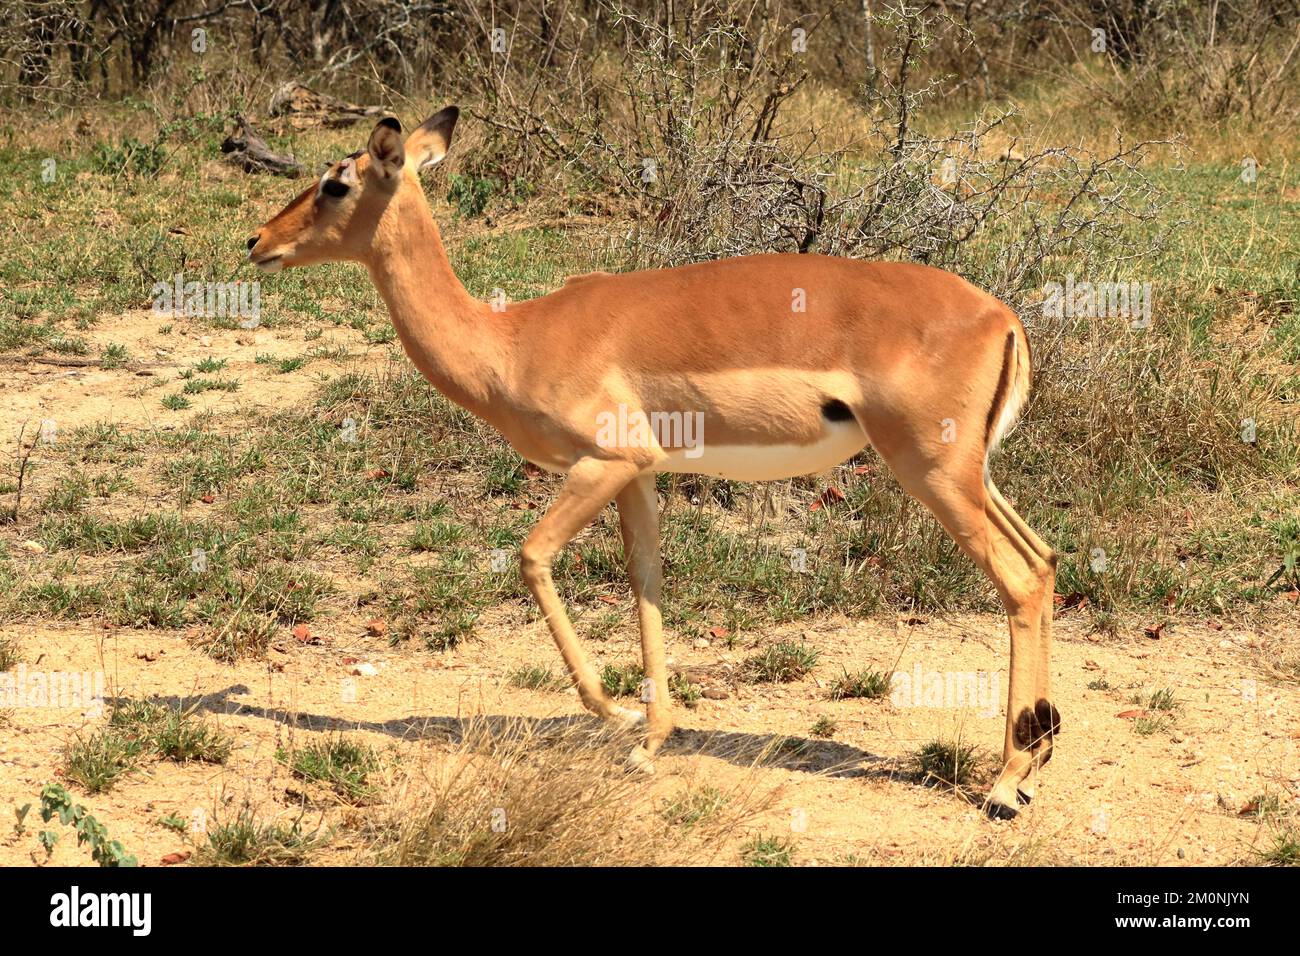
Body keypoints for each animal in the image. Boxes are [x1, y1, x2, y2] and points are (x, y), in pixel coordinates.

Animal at [248, 107, 1060, 819]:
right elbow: (647, 585)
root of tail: (1002, 317)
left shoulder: (603, 462)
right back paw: (1032, 764)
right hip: (971, 475)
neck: (512, 339)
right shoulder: (638, 476)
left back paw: (1002, 788)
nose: (258, 240)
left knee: (1018, 580)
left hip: (932, 473)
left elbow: (533, 557)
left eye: (336, 181)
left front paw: (612, 714)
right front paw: (650, 739)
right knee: (1045, 560)